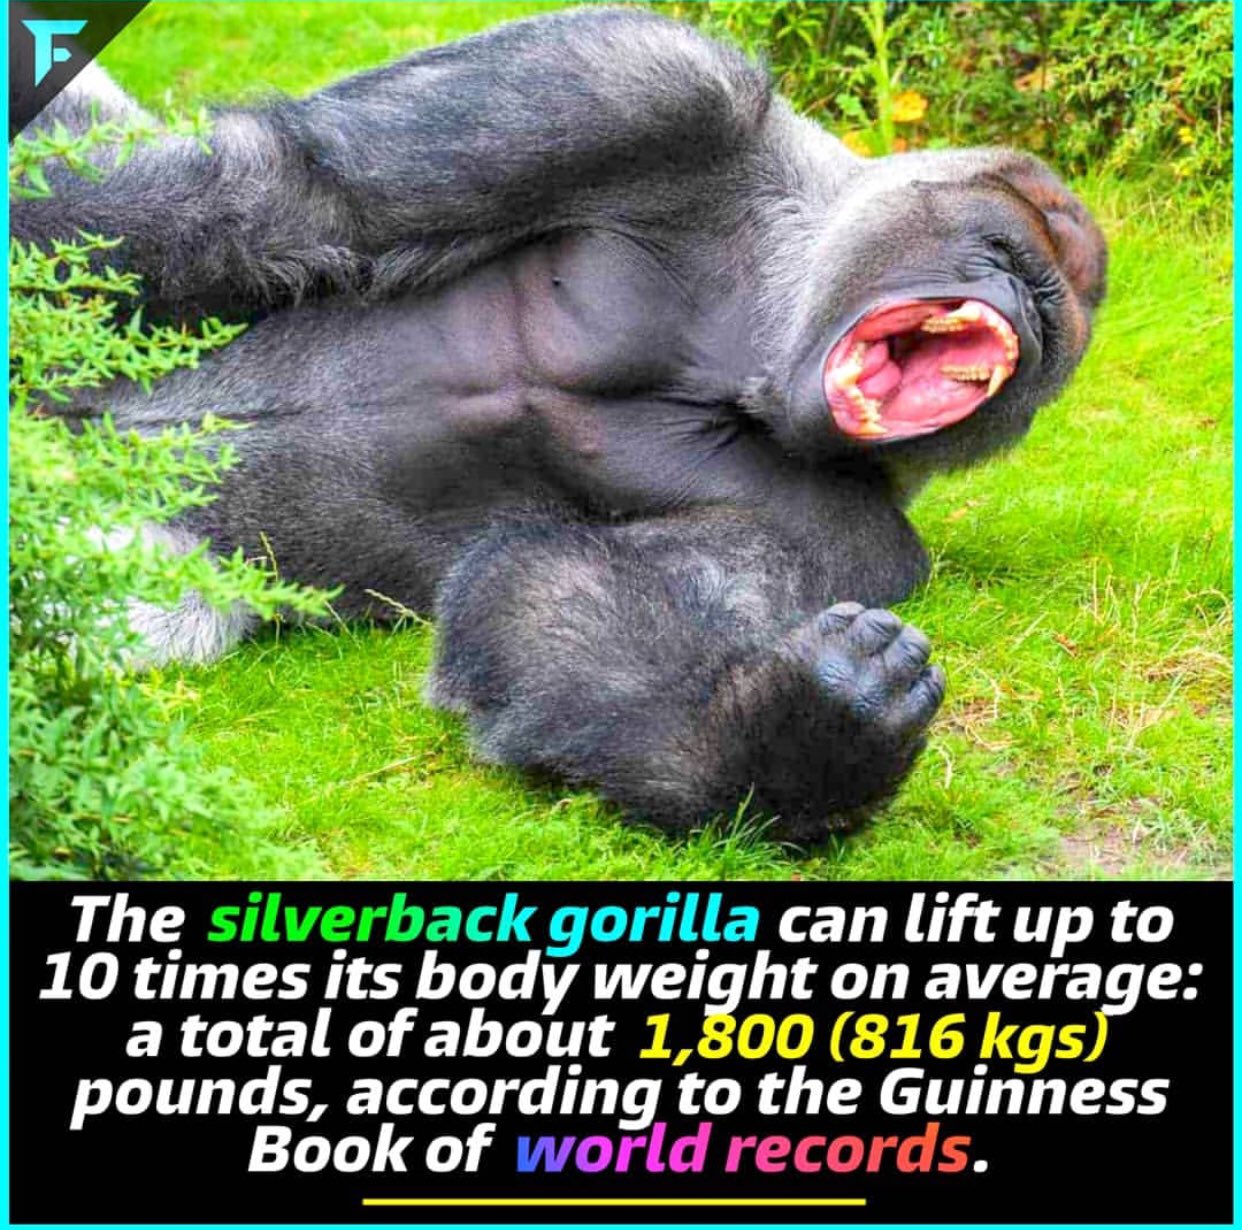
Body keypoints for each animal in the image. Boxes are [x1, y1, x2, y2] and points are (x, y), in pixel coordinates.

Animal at [13, 6, 1107, 840]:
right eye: (1006, 254)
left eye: (1048, 318)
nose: (1015, 304)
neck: (752, 339)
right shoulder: (659, 83)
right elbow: (275, 198)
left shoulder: (857, 531)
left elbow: (549, 590)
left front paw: (789, 744)